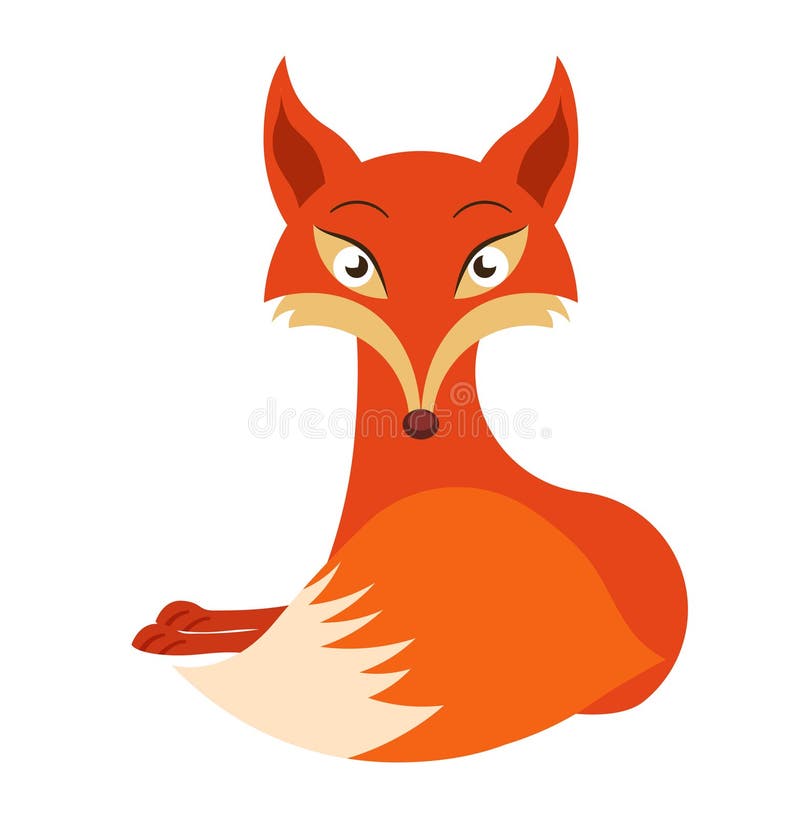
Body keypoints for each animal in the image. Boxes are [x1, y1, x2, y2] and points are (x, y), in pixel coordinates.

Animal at [133, 58, 687, 762]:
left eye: (485, 266)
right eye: (355, 266)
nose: (420, 423)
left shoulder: (343, 594)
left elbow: (265, 629)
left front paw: (181, 633)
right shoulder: (326, 584)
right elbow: (266, 613)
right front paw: (188, 617)